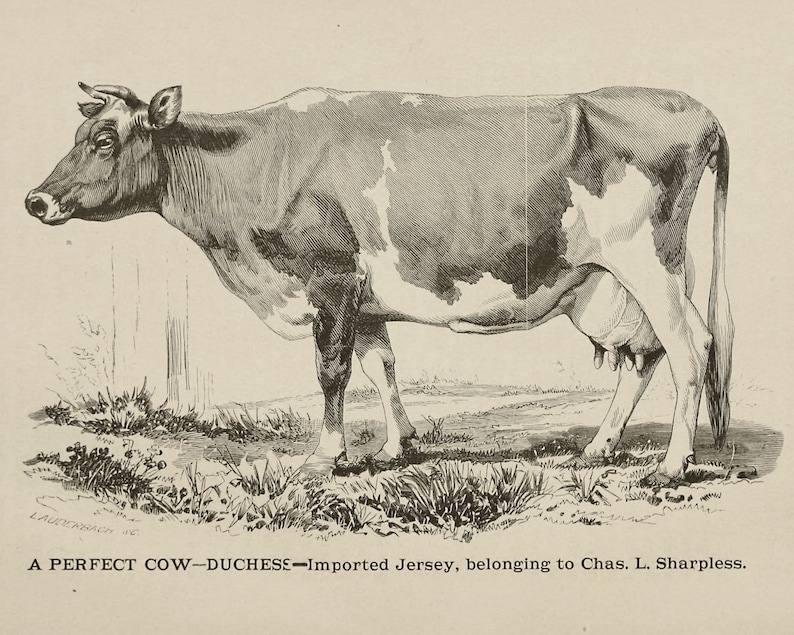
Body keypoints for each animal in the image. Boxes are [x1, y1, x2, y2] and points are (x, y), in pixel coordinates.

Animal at [26, 82, 733, 485]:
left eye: (106, 139)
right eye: (79, 132)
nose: (35, 200)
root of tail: (696, 110)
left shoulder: (330, 279)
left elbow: (332, 371)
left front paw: (323, 458)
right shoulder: (363, 301)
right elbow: (381, 365)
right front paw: (396, 448)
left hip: (649, 260)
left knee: (690, 346)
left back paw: (672, 466)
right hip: (599, 282)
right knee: (644, 354)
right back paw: (598, 449)